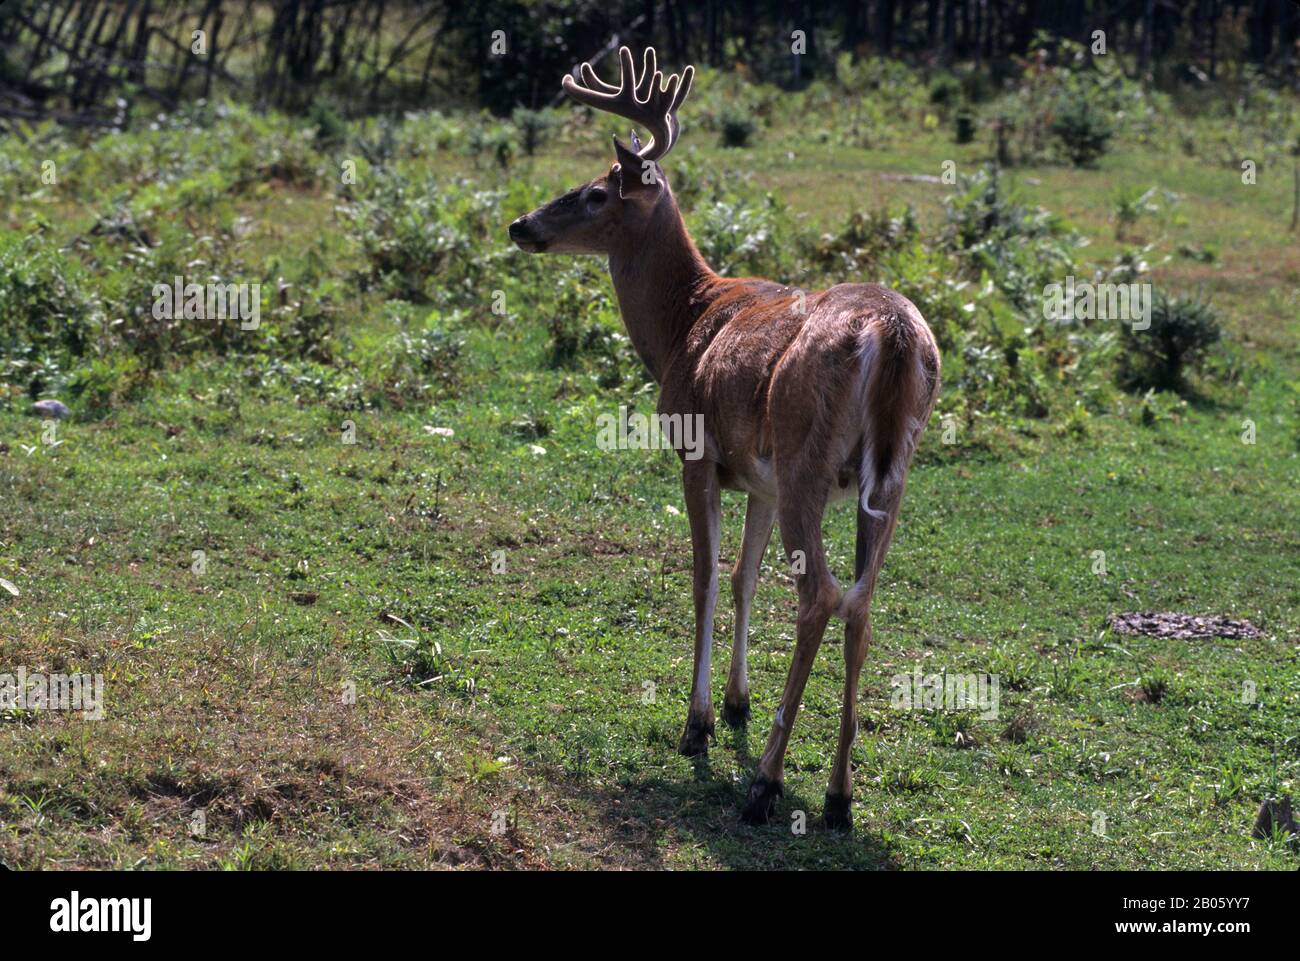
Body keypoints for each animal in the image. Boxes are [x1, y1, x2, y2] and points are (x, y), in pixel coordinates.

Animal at [508, 47, 940, 829]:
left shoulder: (697, 451)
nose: (520, 224)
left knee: (821, 595)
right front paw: (738, 702)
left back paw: (767, 782)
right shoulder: (758, 478)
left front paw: (699, 721)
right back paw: (839, 795)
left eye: (595, 193)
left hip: (807, 460)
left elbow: (705, 574)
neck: (682, 324)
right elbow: (744, 576)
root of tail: (889, 334)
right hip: (891, 476)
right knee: (862, 599)